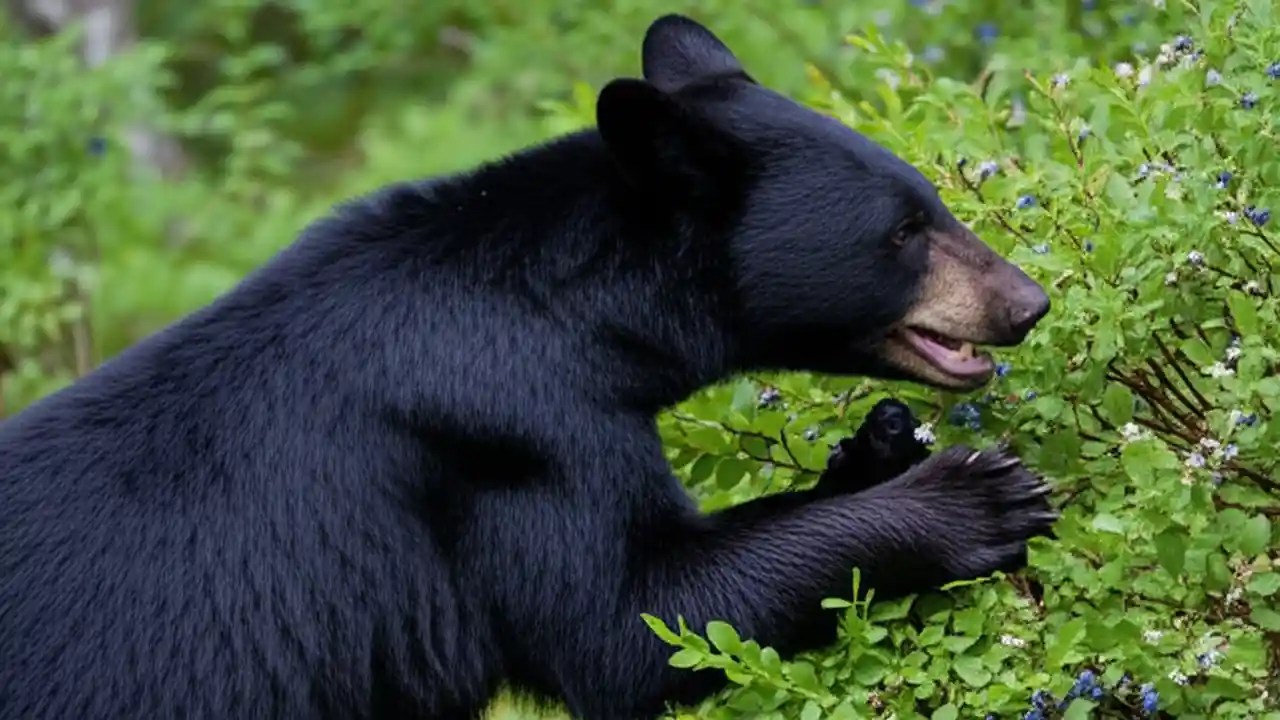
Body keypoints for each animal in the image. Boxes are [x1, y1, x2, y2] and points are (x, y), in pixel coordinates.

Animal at [0, 13, 1056, 720]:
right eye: (905, 231)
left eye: (930, 203)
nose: (1027, 301)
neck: (570, 310)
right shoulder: (507, 430)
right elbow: (638, 623)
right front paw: (975, 499)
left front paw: (875, 450)